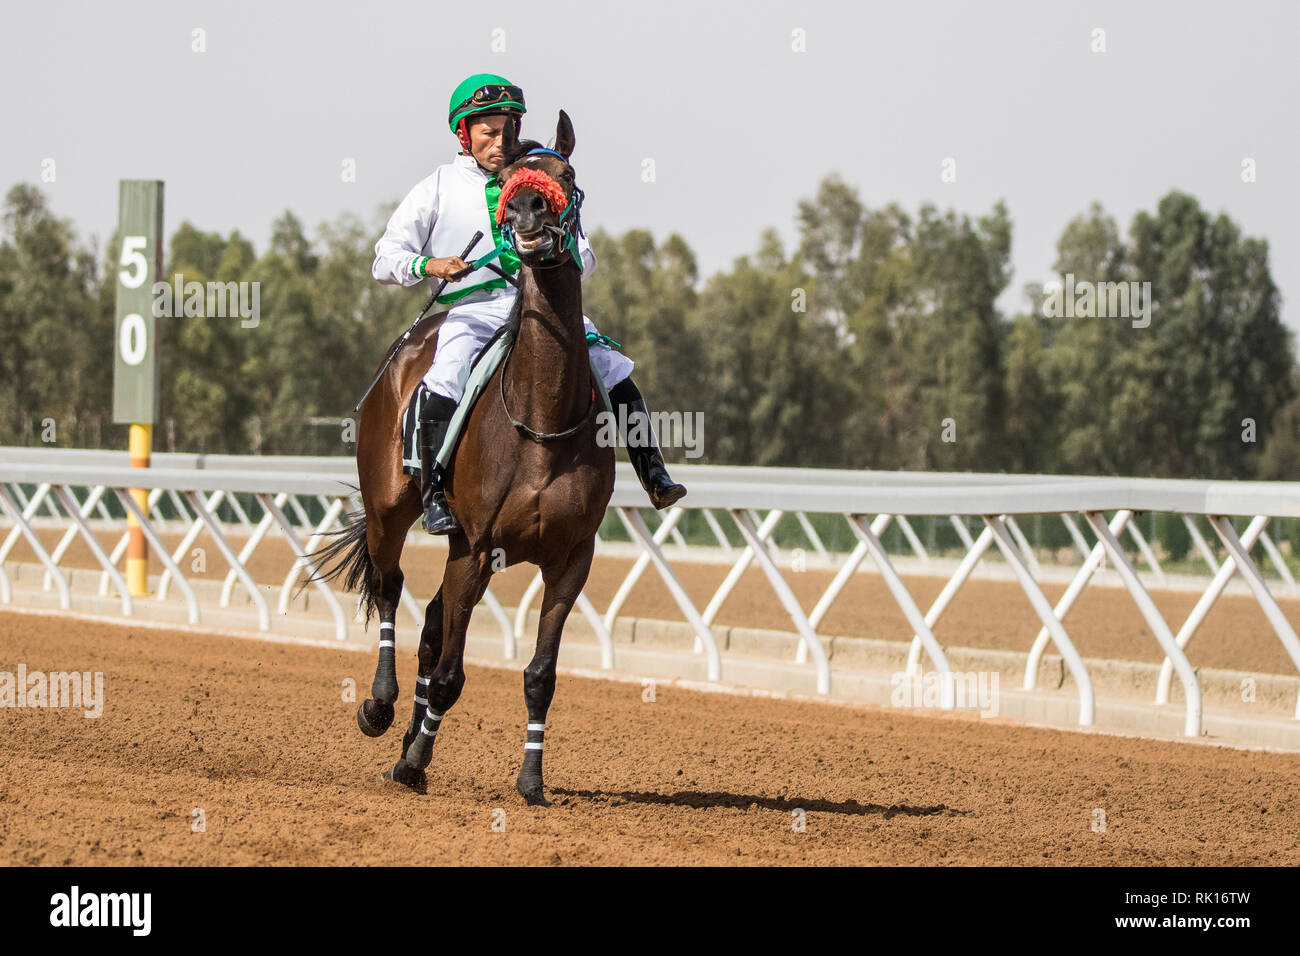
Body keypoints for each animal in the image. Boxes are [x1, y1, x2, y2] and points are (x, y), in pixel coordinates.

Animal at [309, 109, 613, 806]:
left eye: (566, 176)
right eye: (510, 178)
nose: (528, 211)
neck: (541, 420)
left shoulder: (570, 561)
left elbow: (540, 675)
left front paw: (531, 780)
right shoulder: (476, 547)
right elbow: (451, 674)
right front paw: (414, 760)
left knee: (430, 626)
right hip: (392, 508)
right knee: (391, 587)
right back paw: (383, 708)